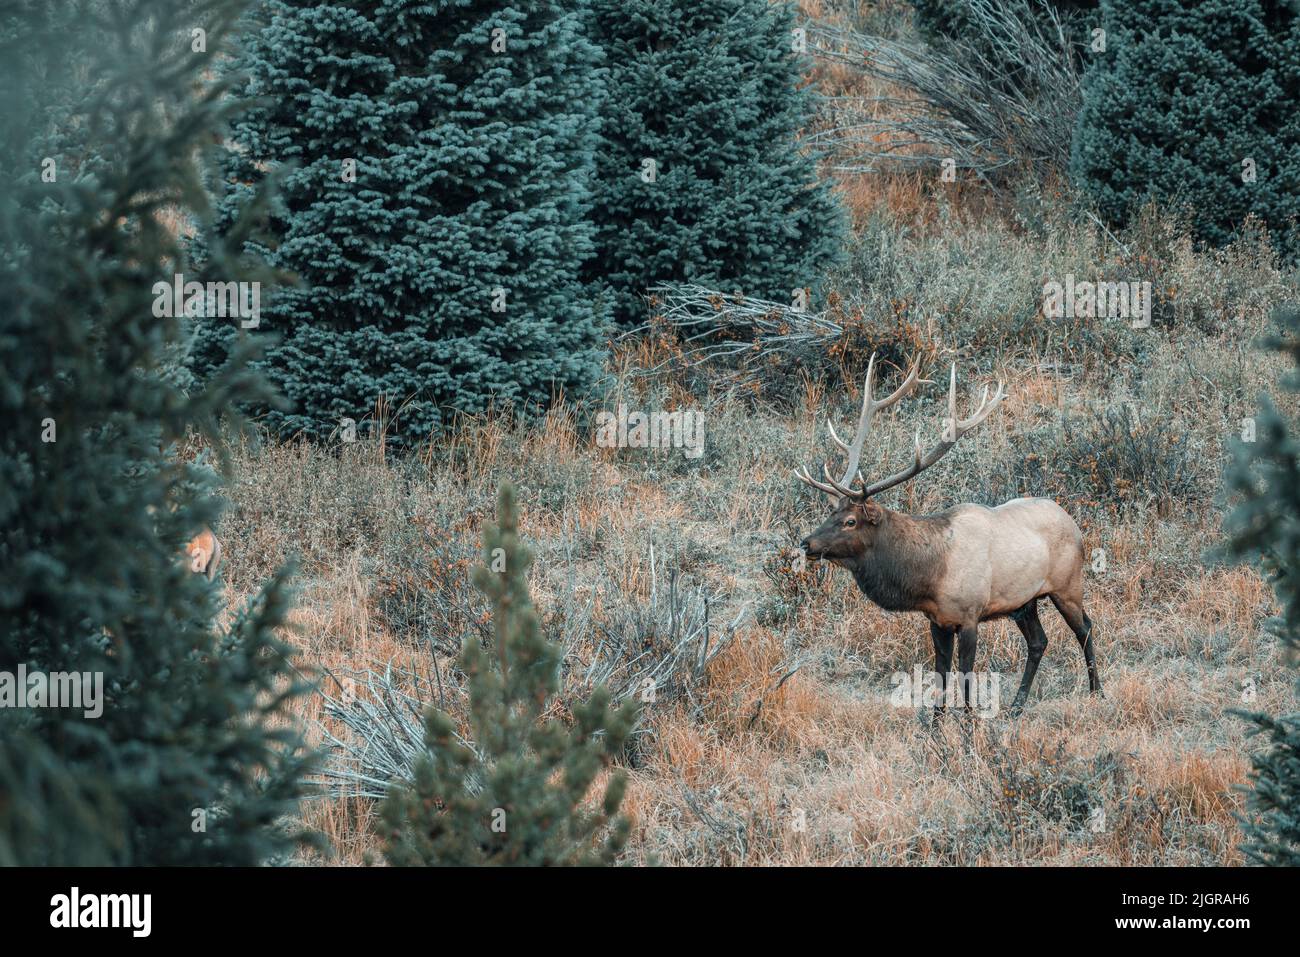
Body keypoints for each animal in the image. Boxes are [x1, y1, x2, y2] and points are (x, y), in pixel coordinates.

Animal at [792, 354, 1100, 716]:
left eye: (851, 521)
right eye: (831, 514)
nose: (807, 543)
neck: (930, 577)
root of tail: (1073, 522)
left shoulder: (970, 615)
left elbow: (965, 679)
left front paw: (967, 723)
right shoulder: (937, 620)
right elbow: (940, 676)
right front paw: (936, 722)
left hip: (1068, 585)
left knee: (1085, 628)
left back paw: (1097, 691)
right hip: (1024, 601)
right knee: (1038, 641)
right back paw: (1016, 705)